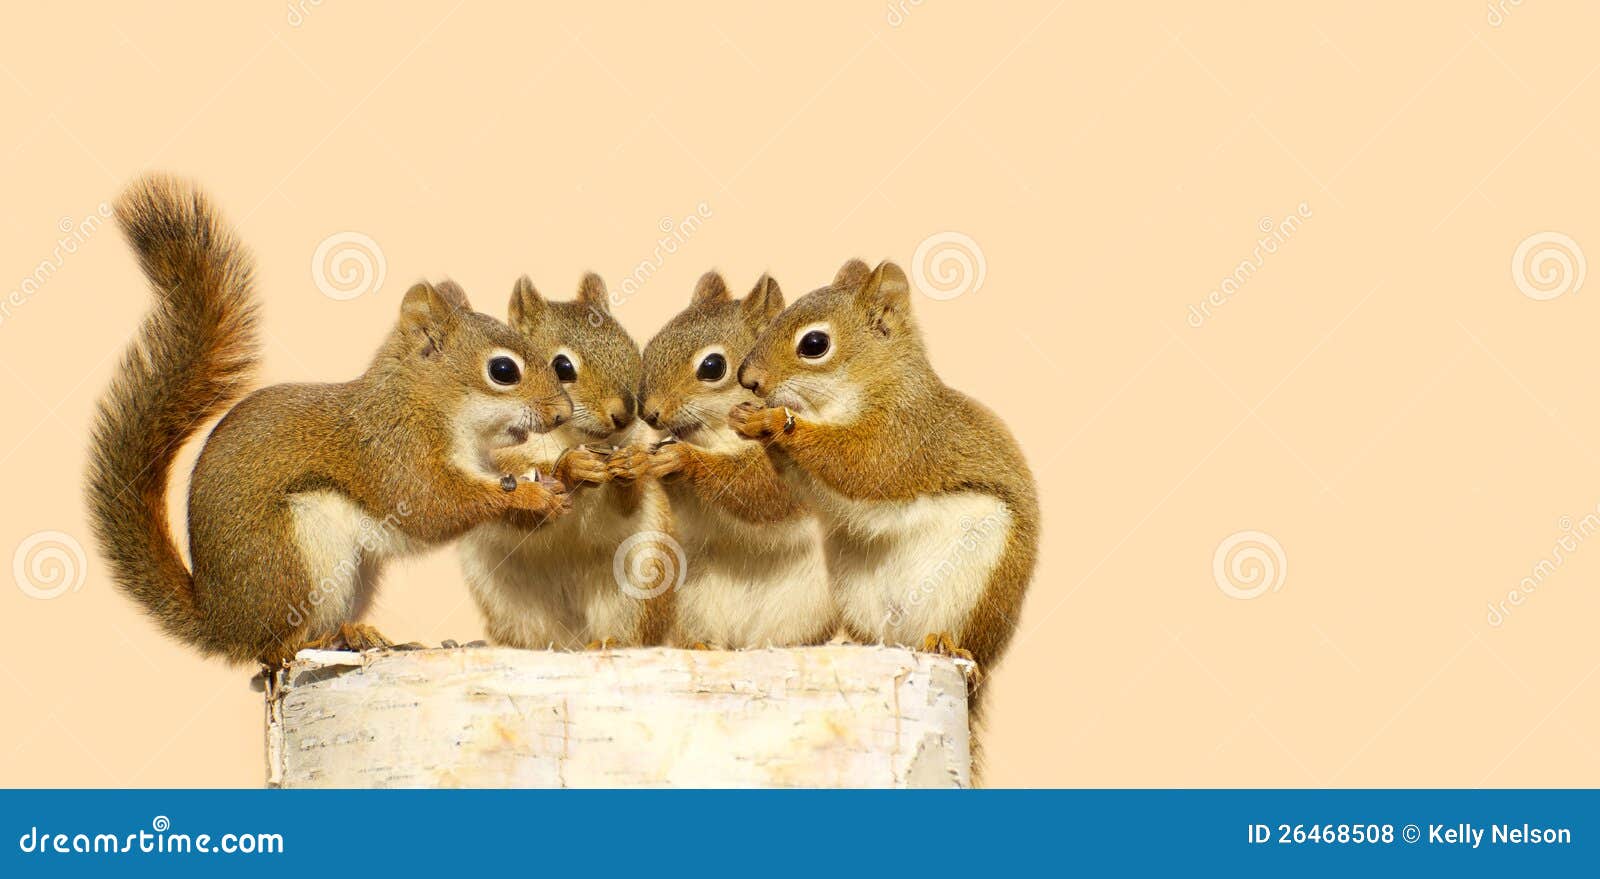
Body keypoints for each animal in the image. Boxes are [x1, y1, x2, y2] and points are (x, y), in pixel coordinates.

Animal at [85, 175, 574, 666]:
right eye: (503, 370)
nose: (563, 413)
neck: (427, 404)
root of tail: (223, 623)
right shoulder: (393, 451)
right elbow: (432, 506)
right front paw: (529, 495)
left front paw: (561, 477)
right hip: (298, 556)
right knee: (277, 649)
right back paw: (334, 638)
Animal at [458, 274, 676, 649]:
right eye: (562, 367)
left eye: (633, 351)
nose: (625, 415)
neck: (571, 438)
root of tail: (573, 640)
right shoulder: (497, 464)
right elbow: (522, 510)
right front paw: (571, 468)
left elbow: (624, 509)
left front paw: (631, 467)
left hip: (638, 585)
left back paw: (608, 642)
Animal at [610, 271, 835, 649]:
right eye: (652, 345)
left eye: (713, 366)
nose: (649, 413)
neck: (716, 438)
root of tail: (739, 637)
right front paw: (639, 462)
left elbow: (761, 490)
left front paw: (683, 459)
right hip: (692, 599)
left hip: (807, 604)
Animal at [731, 259, 1039, 712]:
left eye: (815, 344)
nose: (748, 379)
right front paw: (748, 417)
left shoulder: (905, 435)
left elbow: (861, 465)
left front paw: (776, 421)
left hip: (976, 586)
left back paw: (946, 643)